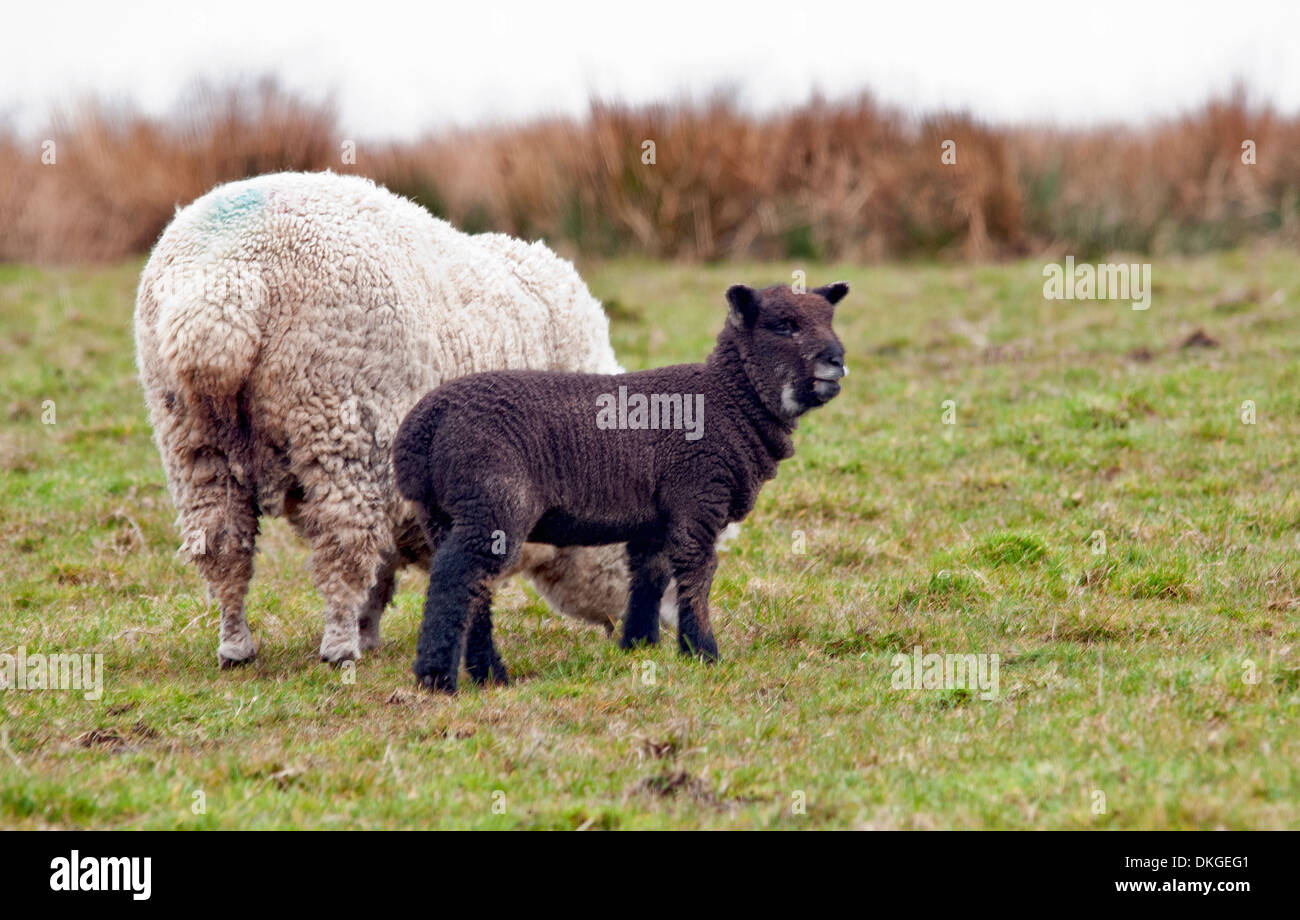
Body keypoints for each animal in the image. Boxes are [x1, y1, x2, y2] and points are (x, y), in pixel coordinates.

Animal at [134, 170, 653, 667]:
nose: (651, 638)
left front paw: (376, 630)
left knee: (223, 550)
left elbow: (386, 566)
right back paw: (340, 647)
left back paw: (236, 647)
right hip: (336, 423)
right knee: (343, 546)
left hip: (193, 442)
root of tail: (228, 278)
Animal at [393, 280, 849, 692]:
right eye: (783, 325)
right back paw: (438, 679)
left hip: (444, 512)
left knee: (474, 588)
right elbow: (697, 574)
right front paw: (703, 654)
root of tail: (423, 427)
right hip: (491, 500)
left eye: (830, 320)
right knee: (455, 578)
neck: (726, 401)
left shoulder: (658, 517)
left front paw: (639, 646)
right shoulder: (697, 496)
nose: (837, 360)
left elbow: (651, 575)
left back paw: (490, 676)